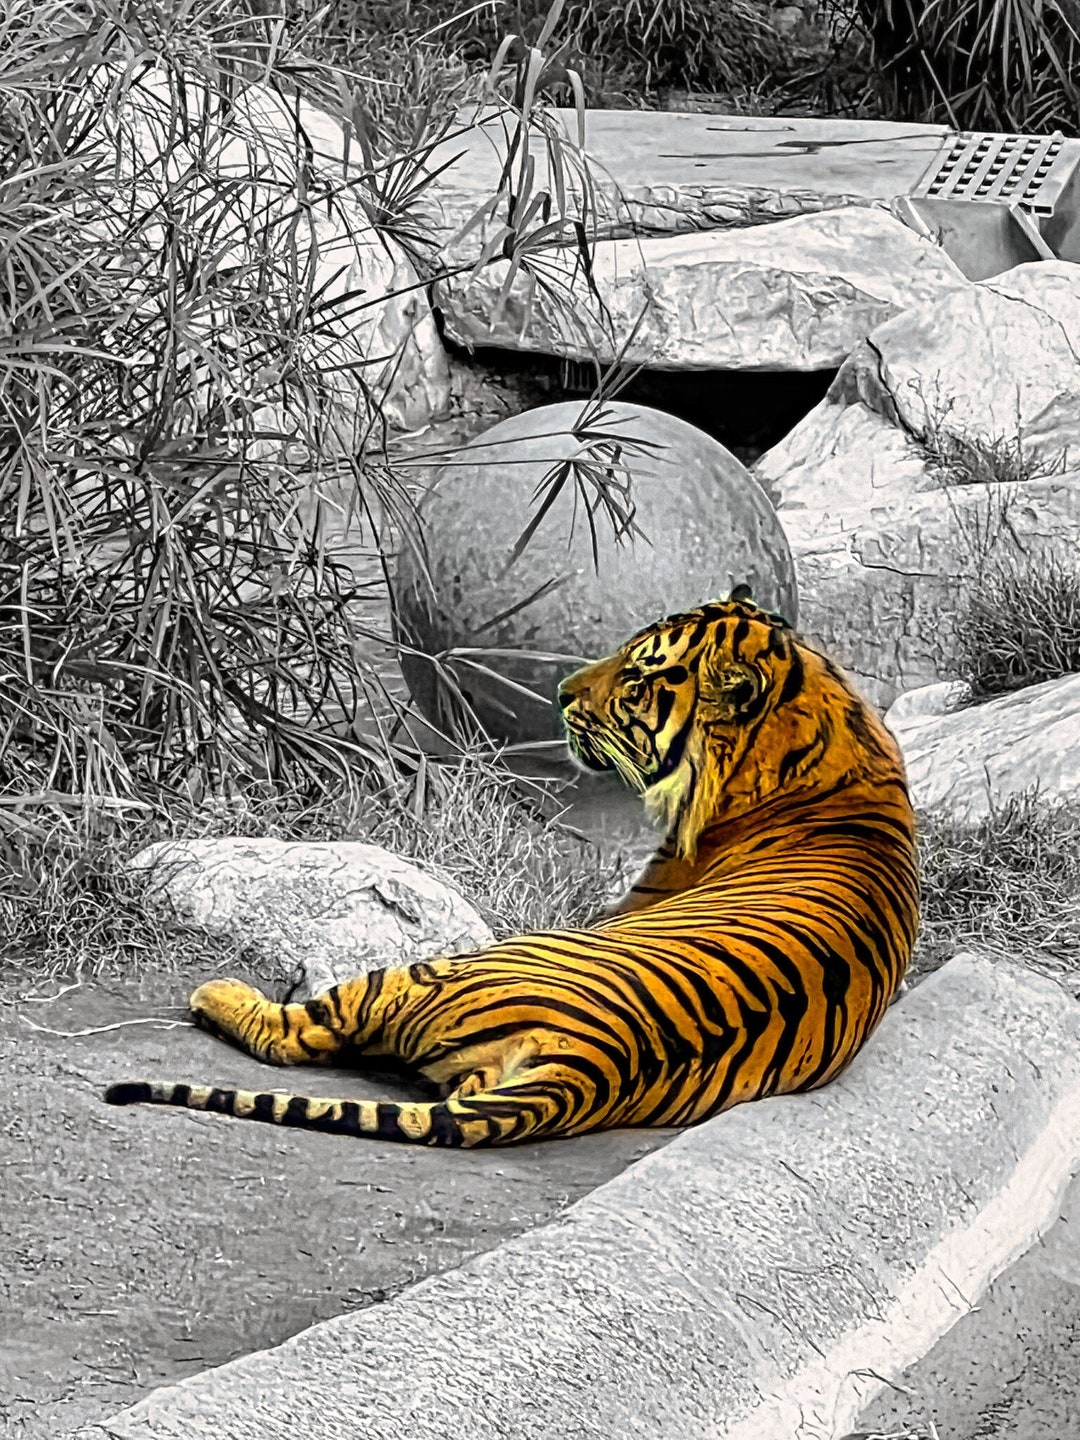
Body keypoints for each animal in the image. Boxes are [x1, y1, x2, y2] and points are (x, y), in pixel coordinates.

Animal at [105, 593, 920, 1148]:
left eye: (637, 677)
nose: (559, 693)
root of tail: (588, 1065)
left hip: (429, 974)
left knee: (297, 1035)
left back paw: (222, 991)